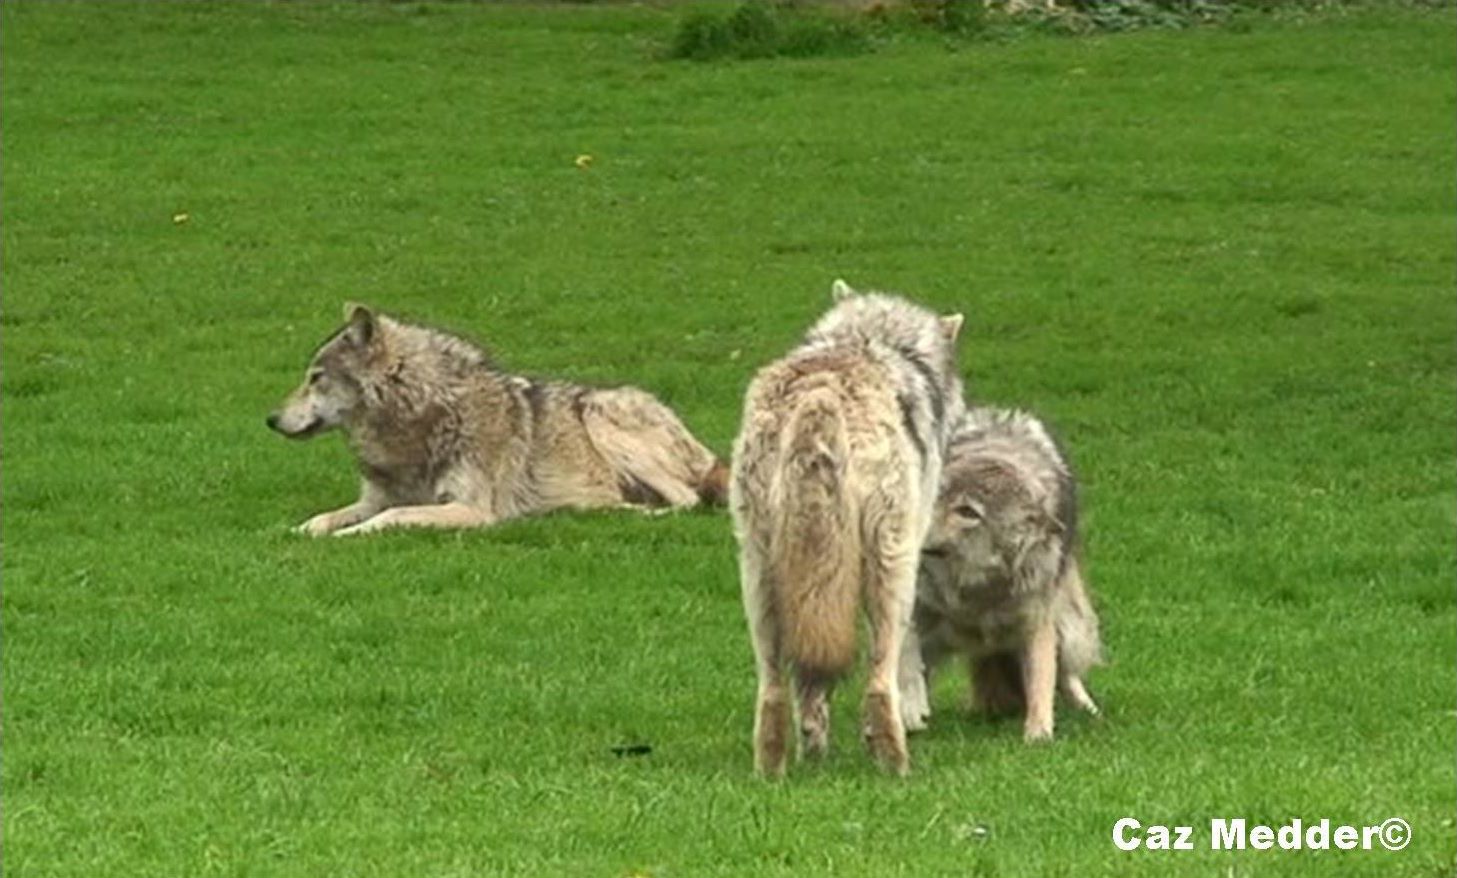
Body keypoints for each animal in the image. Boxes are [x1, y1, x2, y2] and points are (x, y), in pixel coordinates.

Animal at [267, 304, 727, 536]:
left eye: (315, 378)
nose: (270, 419)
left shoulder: (471, 510)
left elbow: (391, 518)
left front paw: (347, 536)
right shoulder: (373, 498)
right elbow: (325, 518)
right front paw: (300, 529)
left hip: (599, 416)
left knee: (686, 501)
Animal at [730, 280, 965, 776]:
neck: (873, 340)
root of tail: (819, 399)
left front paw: (816, 744)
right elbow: (905, 659)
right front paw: (912, 714)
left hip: (759, 575)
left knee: (775, 689)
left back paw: (776, 768)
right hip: (888, 570)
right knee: (878, 680)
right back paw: (896, 764)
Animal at [901, 407, 1102, 742]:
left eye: (968, 512)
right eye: (936, 495)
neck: (978, 589)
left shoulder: (1036, 623)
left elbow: (1041, 684)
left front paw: (1038, 734)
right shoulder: (915, 606)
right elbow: (904, 656)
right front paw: (906, 708)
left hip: (1070, 628)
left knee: (1067, 677)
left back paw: (1089, 711)